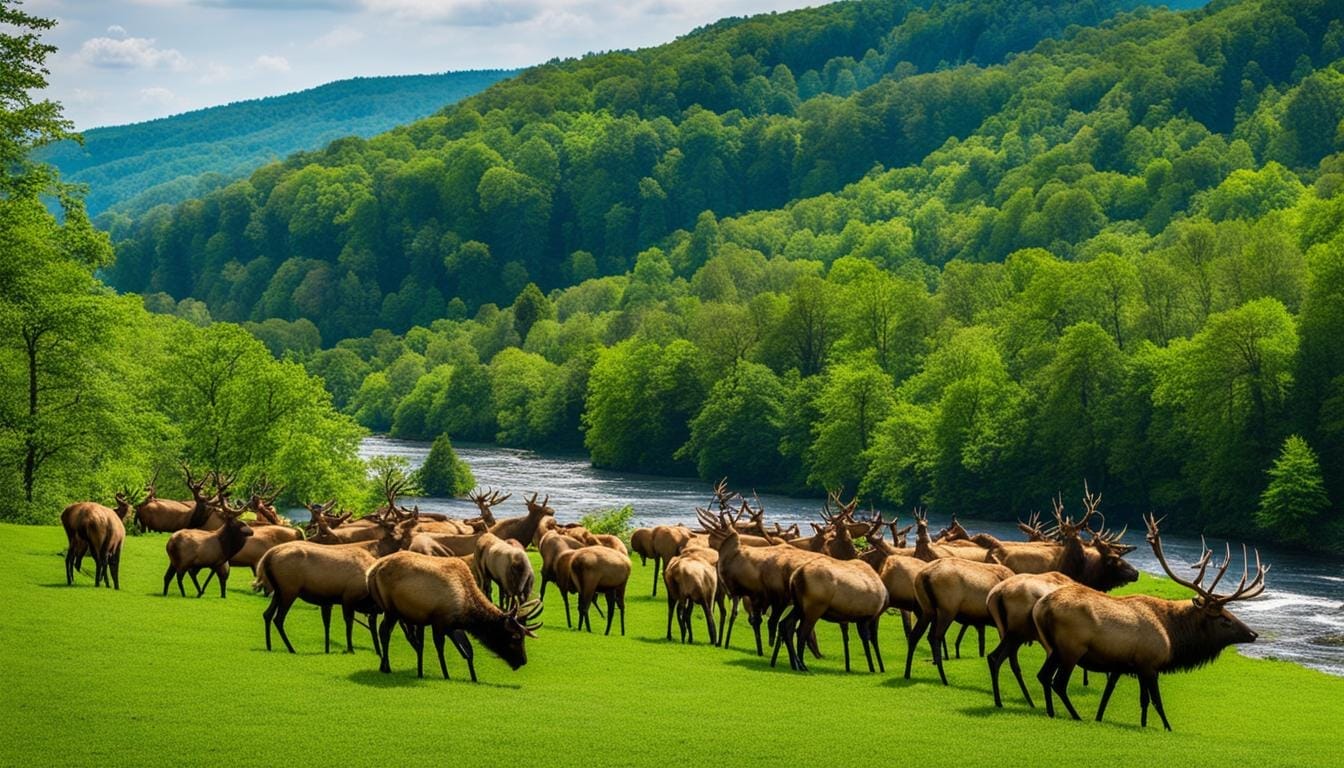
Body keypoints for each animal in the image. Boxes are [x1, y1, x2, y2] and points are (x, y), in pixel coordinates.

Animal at [367, 551, 543, 681]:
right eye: (515, 637)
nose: (523, 660)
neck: (466, 612)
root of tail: (371, 572)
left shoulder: (450, 625)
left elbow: (467, 651)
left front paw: (473, 678)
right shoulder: (439, 621)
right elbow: (440, 648)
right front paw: (446, 675)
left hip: (393, 611)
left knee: (384, 630)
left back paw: (383, 665)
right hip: (390, 609)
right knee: (384, 631)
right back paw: (387, 667)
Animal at [1032, 515, 1267, 730]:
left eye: (1229, 613)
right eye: (1224, 619)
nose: (1253, 634)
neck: (1173, 635)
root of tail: (1042, 608)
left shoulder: (1128, 665)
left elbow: (1137, 700)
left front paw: (1140, 724)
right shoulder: (1149, 663)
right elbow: (1155, 701)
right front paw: (1167, 727)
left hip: (1055, 648)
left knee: (1043, 676)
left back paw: (1051, 712)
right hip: (1072, 648)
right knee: (1059, 683)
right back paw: (1075, 715)